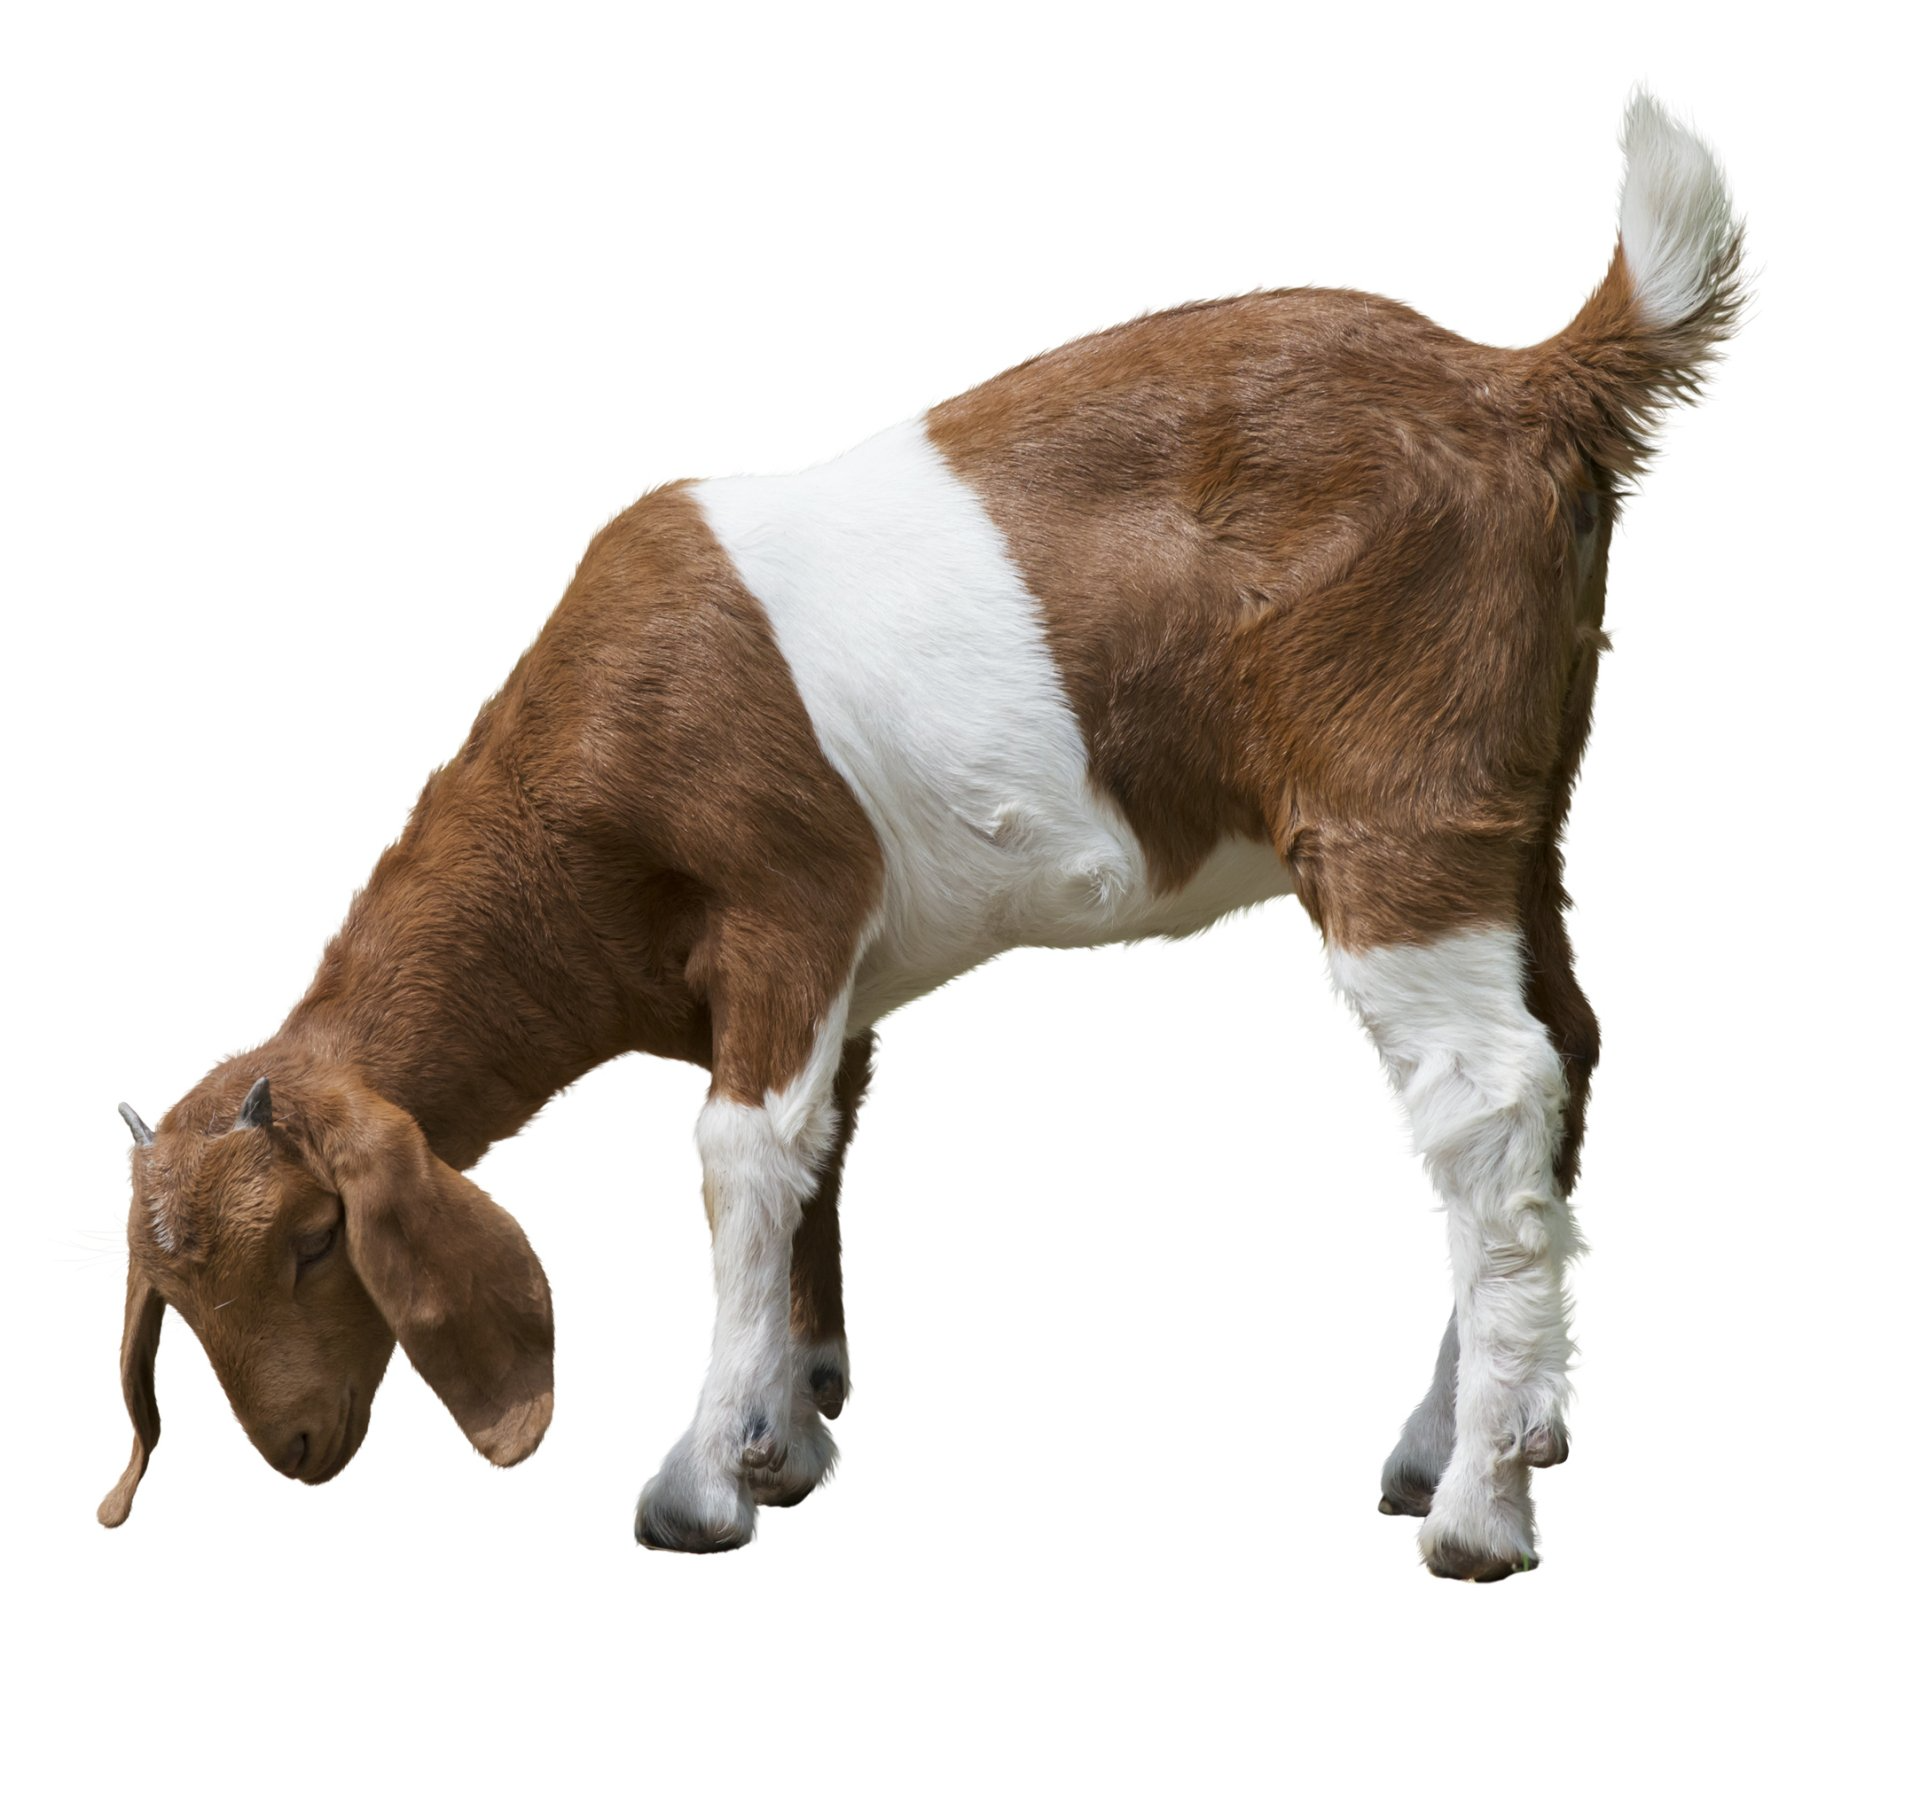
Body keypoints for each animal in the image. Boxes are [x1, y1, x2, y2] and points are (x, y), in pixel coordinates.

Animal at [103, 94, 1741, 1580]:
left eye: (316, 1241)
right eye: (173, 1293)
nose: (298, 1450)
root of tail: (1517, 381)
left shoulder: (782, 902)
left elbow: (741, 1157)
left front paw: (703, 1479)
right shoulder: (824, 984)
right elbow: (817, 1157)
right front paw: (788, 1428)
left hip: (1399, 799)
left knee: (1487, 1091)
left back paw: (1478, 1503)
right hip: (1521, 804)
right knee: (1568, 1040)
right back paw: (1469, 1432)